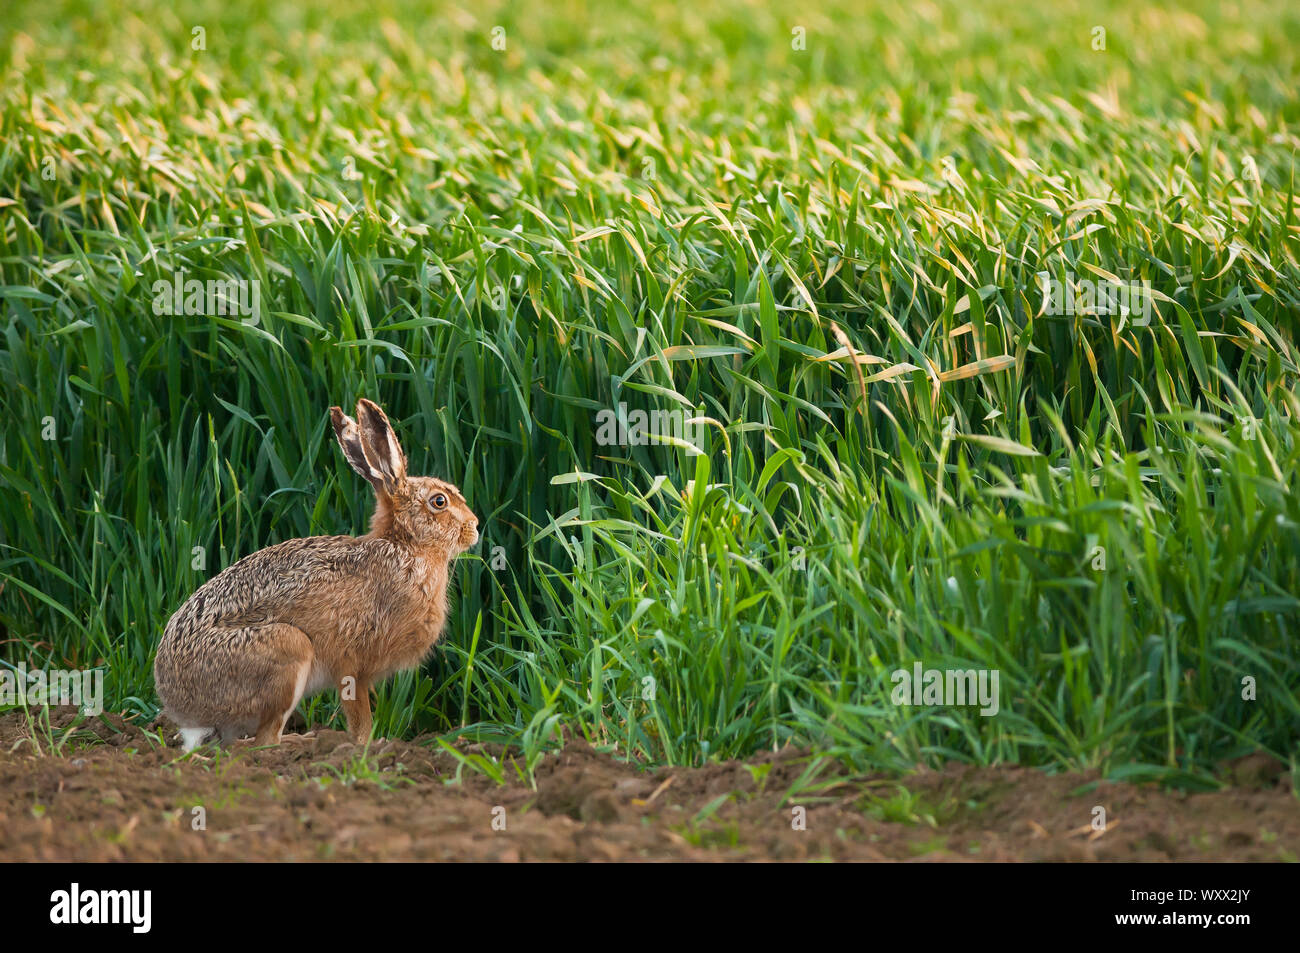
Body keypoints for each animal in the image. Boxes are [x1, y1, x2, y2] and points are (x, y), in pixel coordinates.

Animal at [154, 398, 478, 751]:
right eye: (439, 501)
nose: (474, 527)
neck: (405, 546)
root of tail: (182, 708)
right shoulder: (352, 665)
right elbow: (359, 716)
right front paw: (365, 747)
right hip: (287, 650)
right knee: (265, 741)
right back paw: (304, 743)